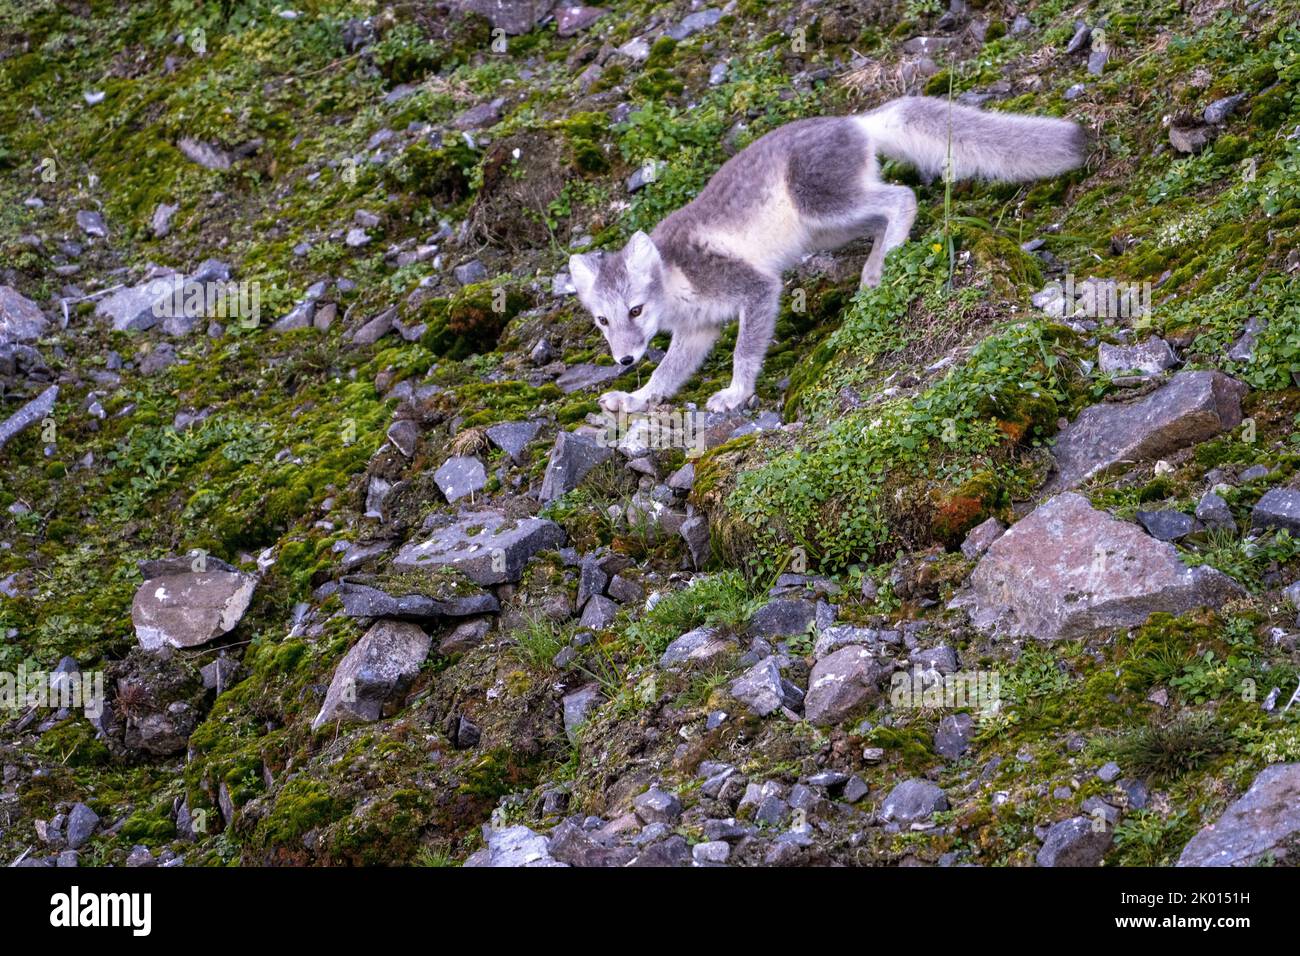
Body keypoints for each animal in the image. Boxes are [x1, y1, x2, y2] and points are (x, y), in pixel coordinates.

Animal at [568, 95, 1088, 414]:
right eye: (602, 320)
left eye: (636, 309)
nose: (624, 360)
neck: (676, 279)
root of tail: (854, 121)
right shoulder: (697, 330)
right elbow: (668, 374)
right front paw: (635, 399)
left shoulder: (753, 289)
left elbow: (743, 351)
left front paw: (736, 393)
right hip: (825, 228)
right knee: (882, 214)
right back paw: (874, 268)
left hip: (819, 202)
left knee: (901, 197)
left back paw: (881, 267)